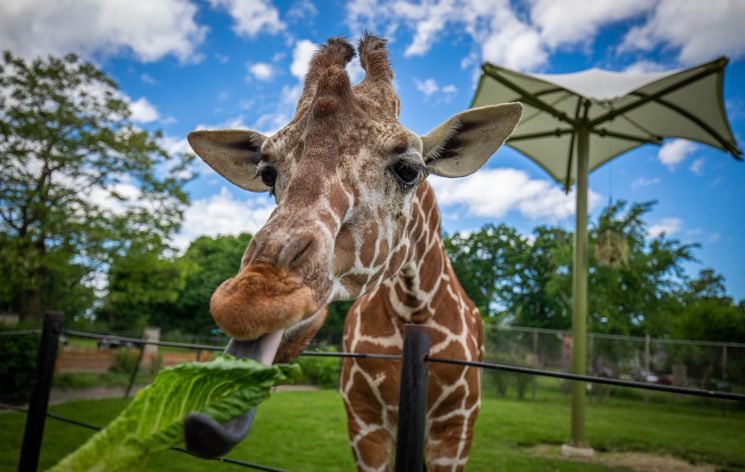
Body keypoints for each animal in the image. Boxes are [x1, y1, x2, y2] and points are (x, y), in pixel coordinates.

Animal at [186, 35, 522, 471]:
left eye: (409, 169)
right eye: (268, 174)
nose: (252, 303)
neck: (414, 310)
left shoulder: (457, 427)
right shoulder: (364, 421)